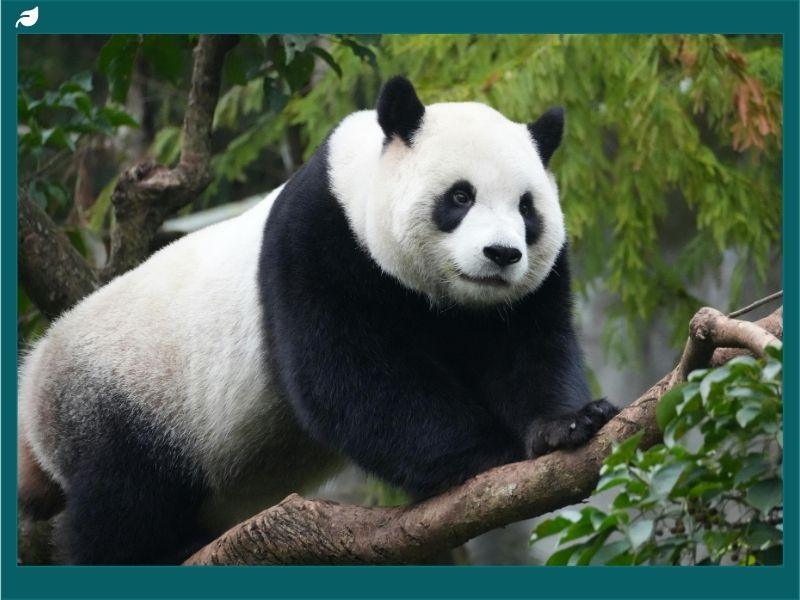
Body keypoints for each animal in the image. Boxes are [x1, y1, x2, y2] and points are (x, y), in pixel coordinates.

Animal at [18, 76, 618, 565]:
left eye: (527, 208)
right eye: (460, 196)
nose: (501, 255)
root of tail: (33, 378)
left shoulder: (520, 294)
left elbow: (530, 351)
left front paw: (567, 425)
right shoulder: (320, 241)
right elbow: (349, 374)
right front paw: (488, 454)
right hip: (123, 394)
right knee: (122, 497)